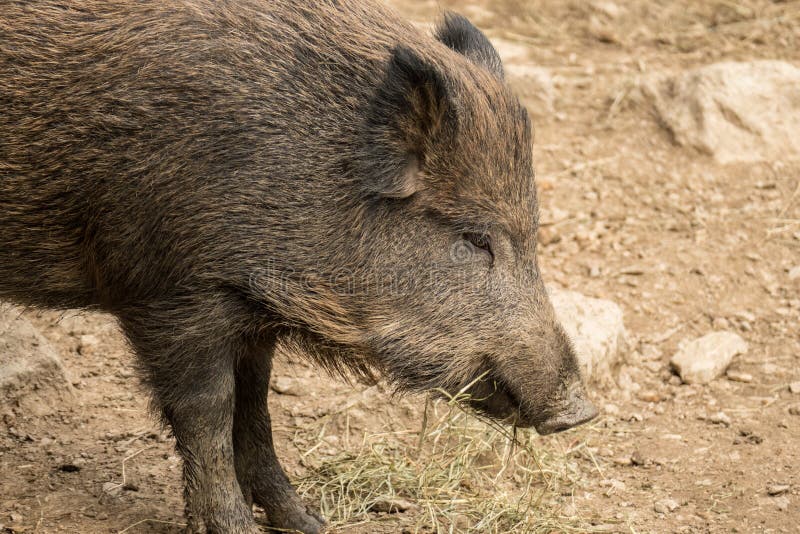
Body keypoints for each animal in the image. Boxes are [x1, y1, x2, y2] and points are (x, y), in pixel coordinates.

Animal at [0, 1, 598, 532]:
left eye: (534, 233)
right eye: (474, 238)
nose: (581, 412)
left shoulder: (250, 311)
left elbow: (255, 404)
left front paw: (308, 522)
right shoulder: (172, 293)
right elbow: (208, 409)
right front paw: (236, 528)